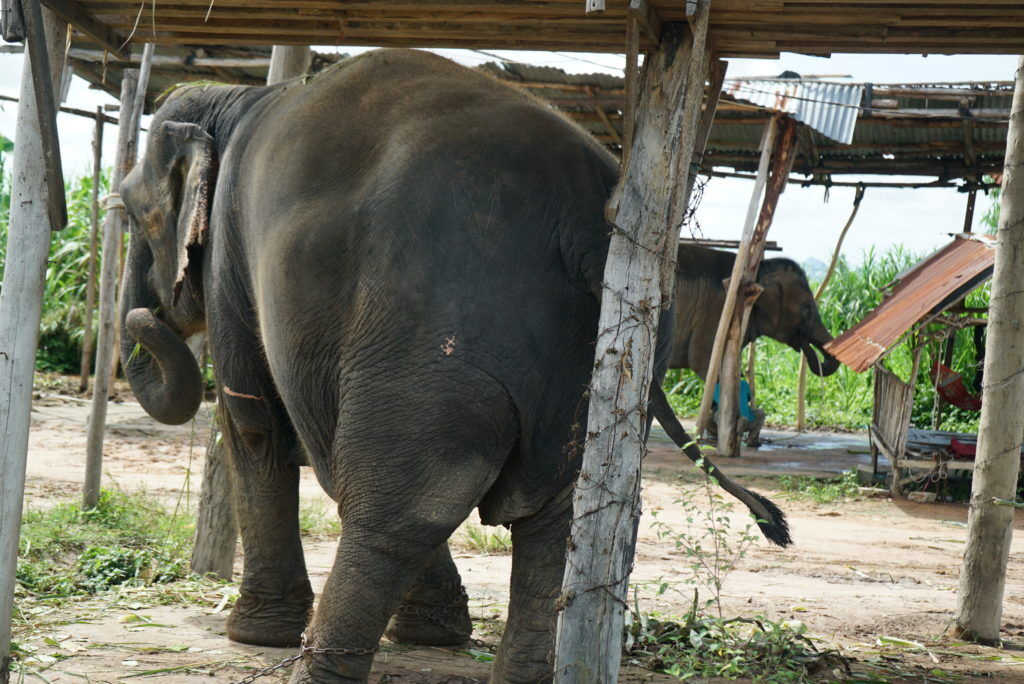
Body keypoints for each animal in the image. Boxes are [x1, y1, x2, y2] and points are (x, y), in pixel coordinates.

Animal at [118, 48, 787, 683]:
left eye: (125, 213)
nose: (143, 316)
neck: (235, 98)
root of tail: (592, 221)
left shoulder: (231, 264)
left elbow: (256, 427)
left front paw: (254, 636)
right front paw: (436, 634)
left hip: (430, 330)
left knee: (398, 511)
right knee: (553, 517)